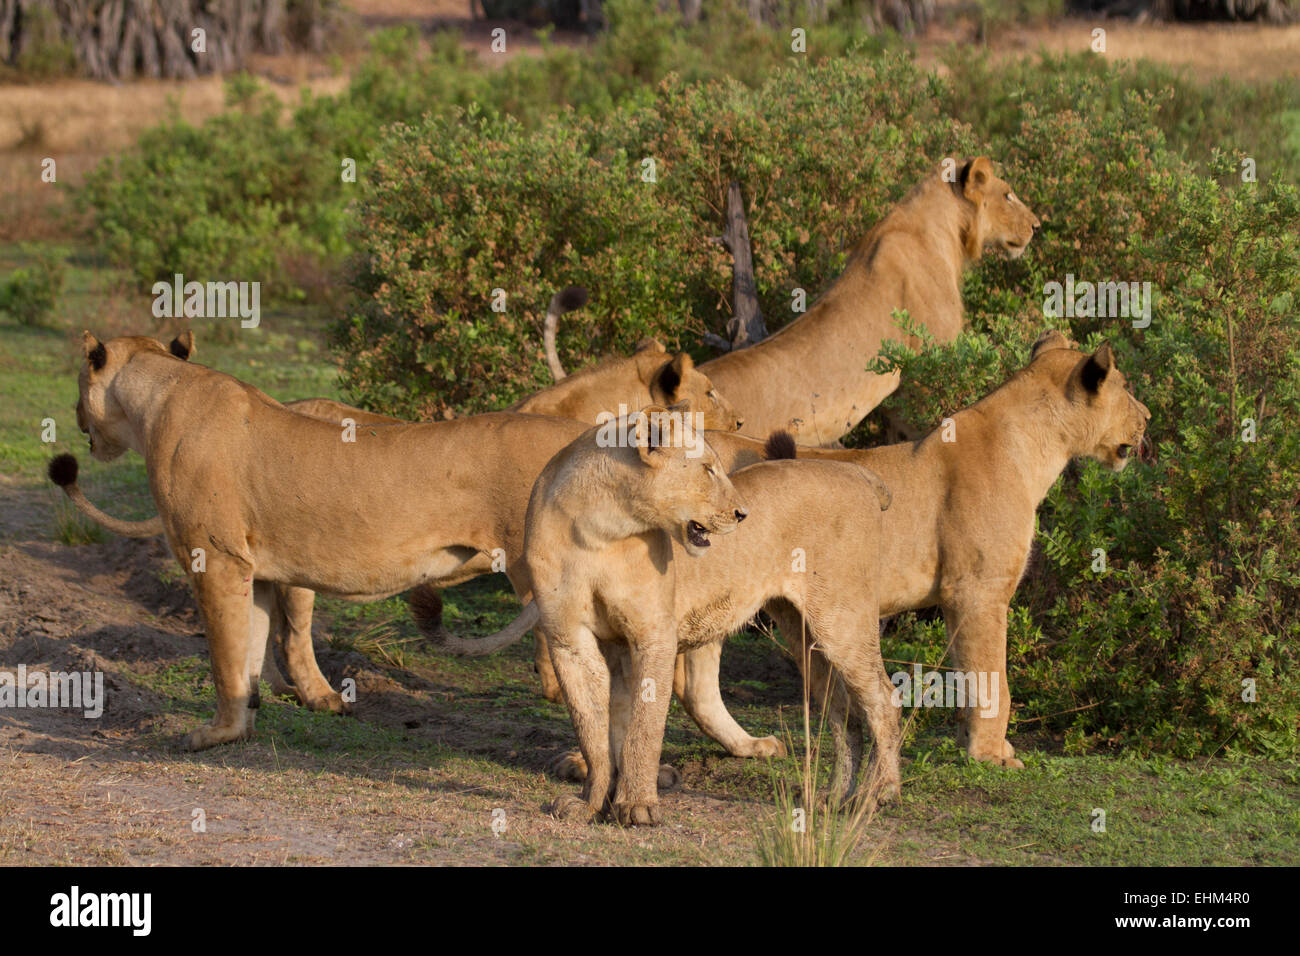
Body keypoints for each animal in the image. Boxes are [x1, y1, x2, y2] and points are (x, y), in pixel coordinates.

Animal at [494, 405, 894, 825]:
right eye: (707, 469)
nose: (743, 514)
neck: (596, 531)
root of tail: (858, 473)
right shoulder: (569, 639)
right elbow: (594, 729)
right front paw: (590, 802)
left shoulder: (653, 634)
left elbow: (643, 728)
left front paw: (637, 805)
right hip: (802, 630)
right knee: (842, 711)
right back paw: (833, 797)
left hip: (842, 618)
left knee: (883, 698)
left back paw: (877, 794)